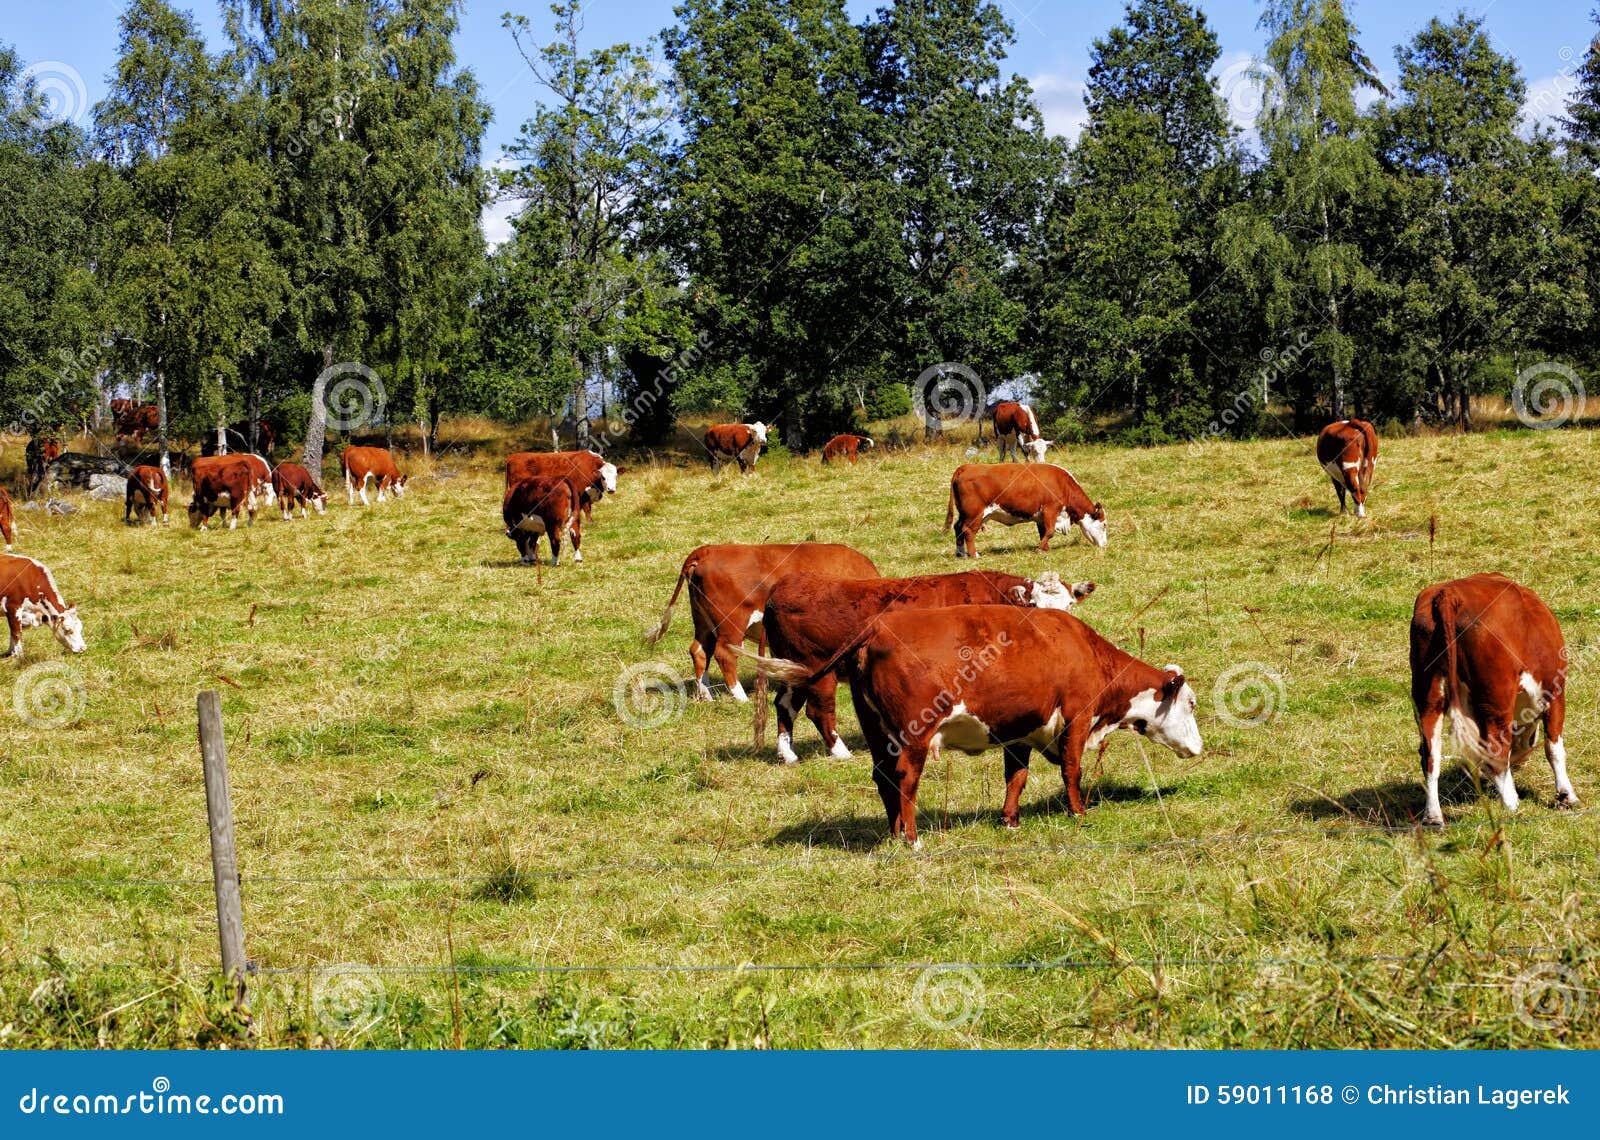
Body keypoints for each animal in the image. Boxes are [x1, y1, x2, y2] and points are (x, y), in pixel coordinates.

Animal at [645, 543, 879, 702]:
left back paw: (707, 696)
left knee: (700, 651)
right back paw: (741, 697)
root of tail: (709, 550)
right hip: (732, 624)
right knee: (724, 654)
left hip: (703, 622)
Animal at [749, 570, 1096, 764]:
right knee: (819, 710)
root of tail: (781, 589)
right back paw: (840, 752)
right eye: (1034, 606)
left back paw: (788, 755)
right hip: (818, 672)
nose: (1054, 628)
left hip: (794, 671)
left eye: (1068, 605)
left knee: (785, 705)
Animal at [759, 606, 1199, 845]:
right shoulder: (1076, 717)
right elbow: (1072, 770)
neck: (1084, 650)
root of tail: (877, 626)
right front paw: (1078, 812)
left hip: (877, 730)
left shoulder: (1018, 729)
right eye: (1192, 703)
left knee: (883, 777)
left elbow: (1016, 778)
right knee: (904, 778)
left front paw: (1010, 820)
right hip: (914, 734)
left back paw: (895, 832)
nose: (1198, 748)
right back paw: (913, 838)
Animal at [945, 463, 1107, 557]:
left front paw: (1045, 548)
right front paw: (1040, 549)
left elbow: (1043, 532)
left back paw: (960, 553)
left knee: (958, 528)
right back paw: (974, 554)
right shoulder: (1051, 509)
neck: (1064, 484)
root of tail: (967, 466)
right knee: (968, 532)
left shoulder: (1041, 516)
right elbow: (1050, 531)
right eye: (1104, 525)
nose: (1105, 545)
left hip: (965, 514)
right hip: (975, 515)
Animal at [1410, 573, 1579, 827]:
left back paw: (1433, 817)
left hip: (1427, 695)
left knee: (1430, 755)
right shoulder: (1555, 693)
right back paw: (1512, 806)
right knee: (1496, 750)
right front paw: (1566, 796)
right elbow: (1554, 747)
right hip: (1497, 698)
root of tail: (1449, 594)